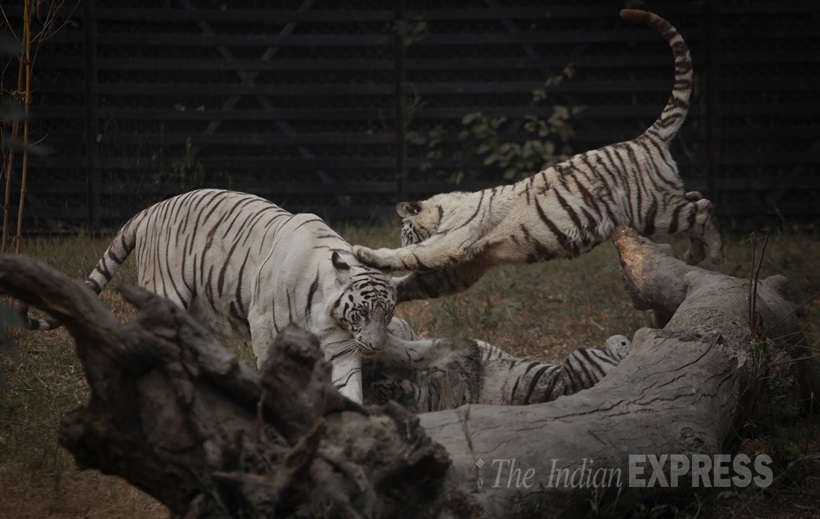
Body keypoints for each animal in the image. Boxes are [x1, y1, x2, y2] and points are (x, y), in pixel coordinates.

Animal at [23, 189, 397, 404]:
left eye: (388, 313)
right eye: (362, 313)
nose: (377, 346)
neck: (325, 312)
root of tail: (149, 210)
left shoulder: (342, 347)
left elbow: (350, 389)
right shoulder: (265, 326)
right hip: (166, 294)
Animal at [353, 9, 723, 303]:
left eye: (405, 233)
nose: (400, 237)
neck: (446, 212)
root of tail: (646, 138)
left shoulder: (452, 243)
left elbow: (411, 255)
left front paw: (367, 253)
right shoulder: (467, 264)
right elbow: (420, 281)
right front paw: (388, 293)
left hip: (650, 209)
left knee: (703, 208)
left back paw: (714, 253)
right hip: (660, 203)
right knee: (695, 197)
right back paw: (695, 253)